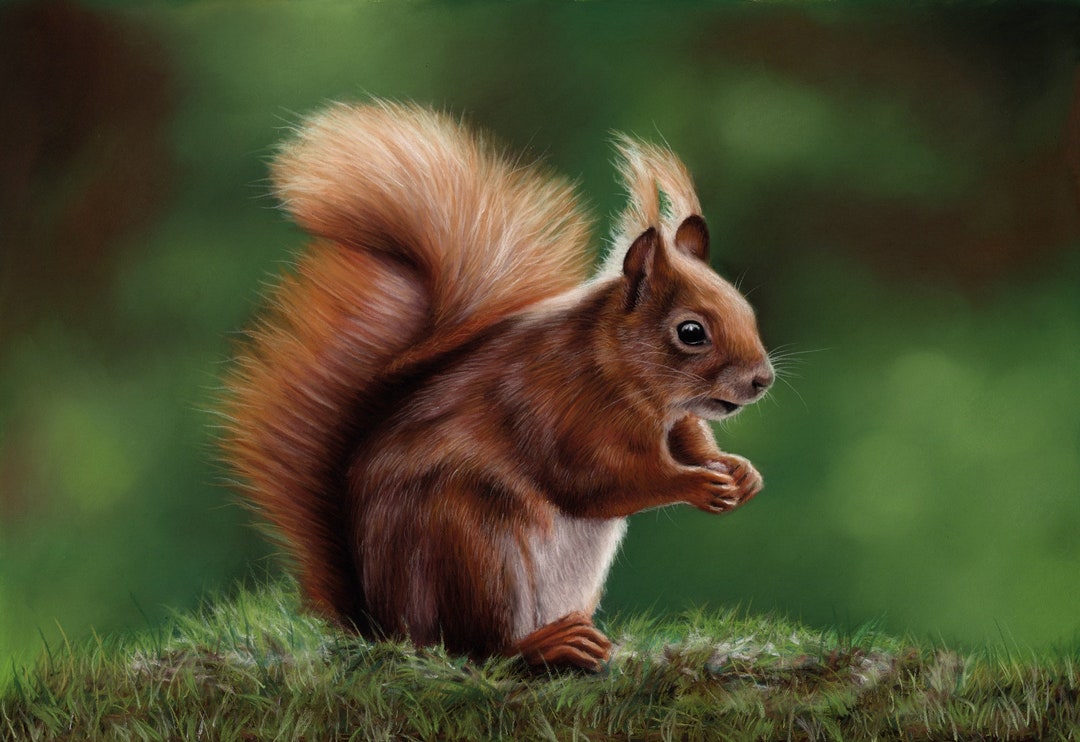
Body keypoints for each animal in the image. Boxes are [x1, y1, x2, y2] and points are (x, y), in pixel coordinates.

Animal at [220, 100, 774, 671]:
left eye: (745, 307)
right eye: (691, 332)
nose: (762, 379)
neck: (622, 375)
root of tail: (382, 624)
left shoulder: (675, 418)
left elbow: (690, 441)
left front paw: (738, 471)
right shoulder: (563, 411)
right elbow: (600, 480)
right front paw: (698, 484)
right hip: (468, 542)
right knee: (478, 647)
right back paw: (545, 645)